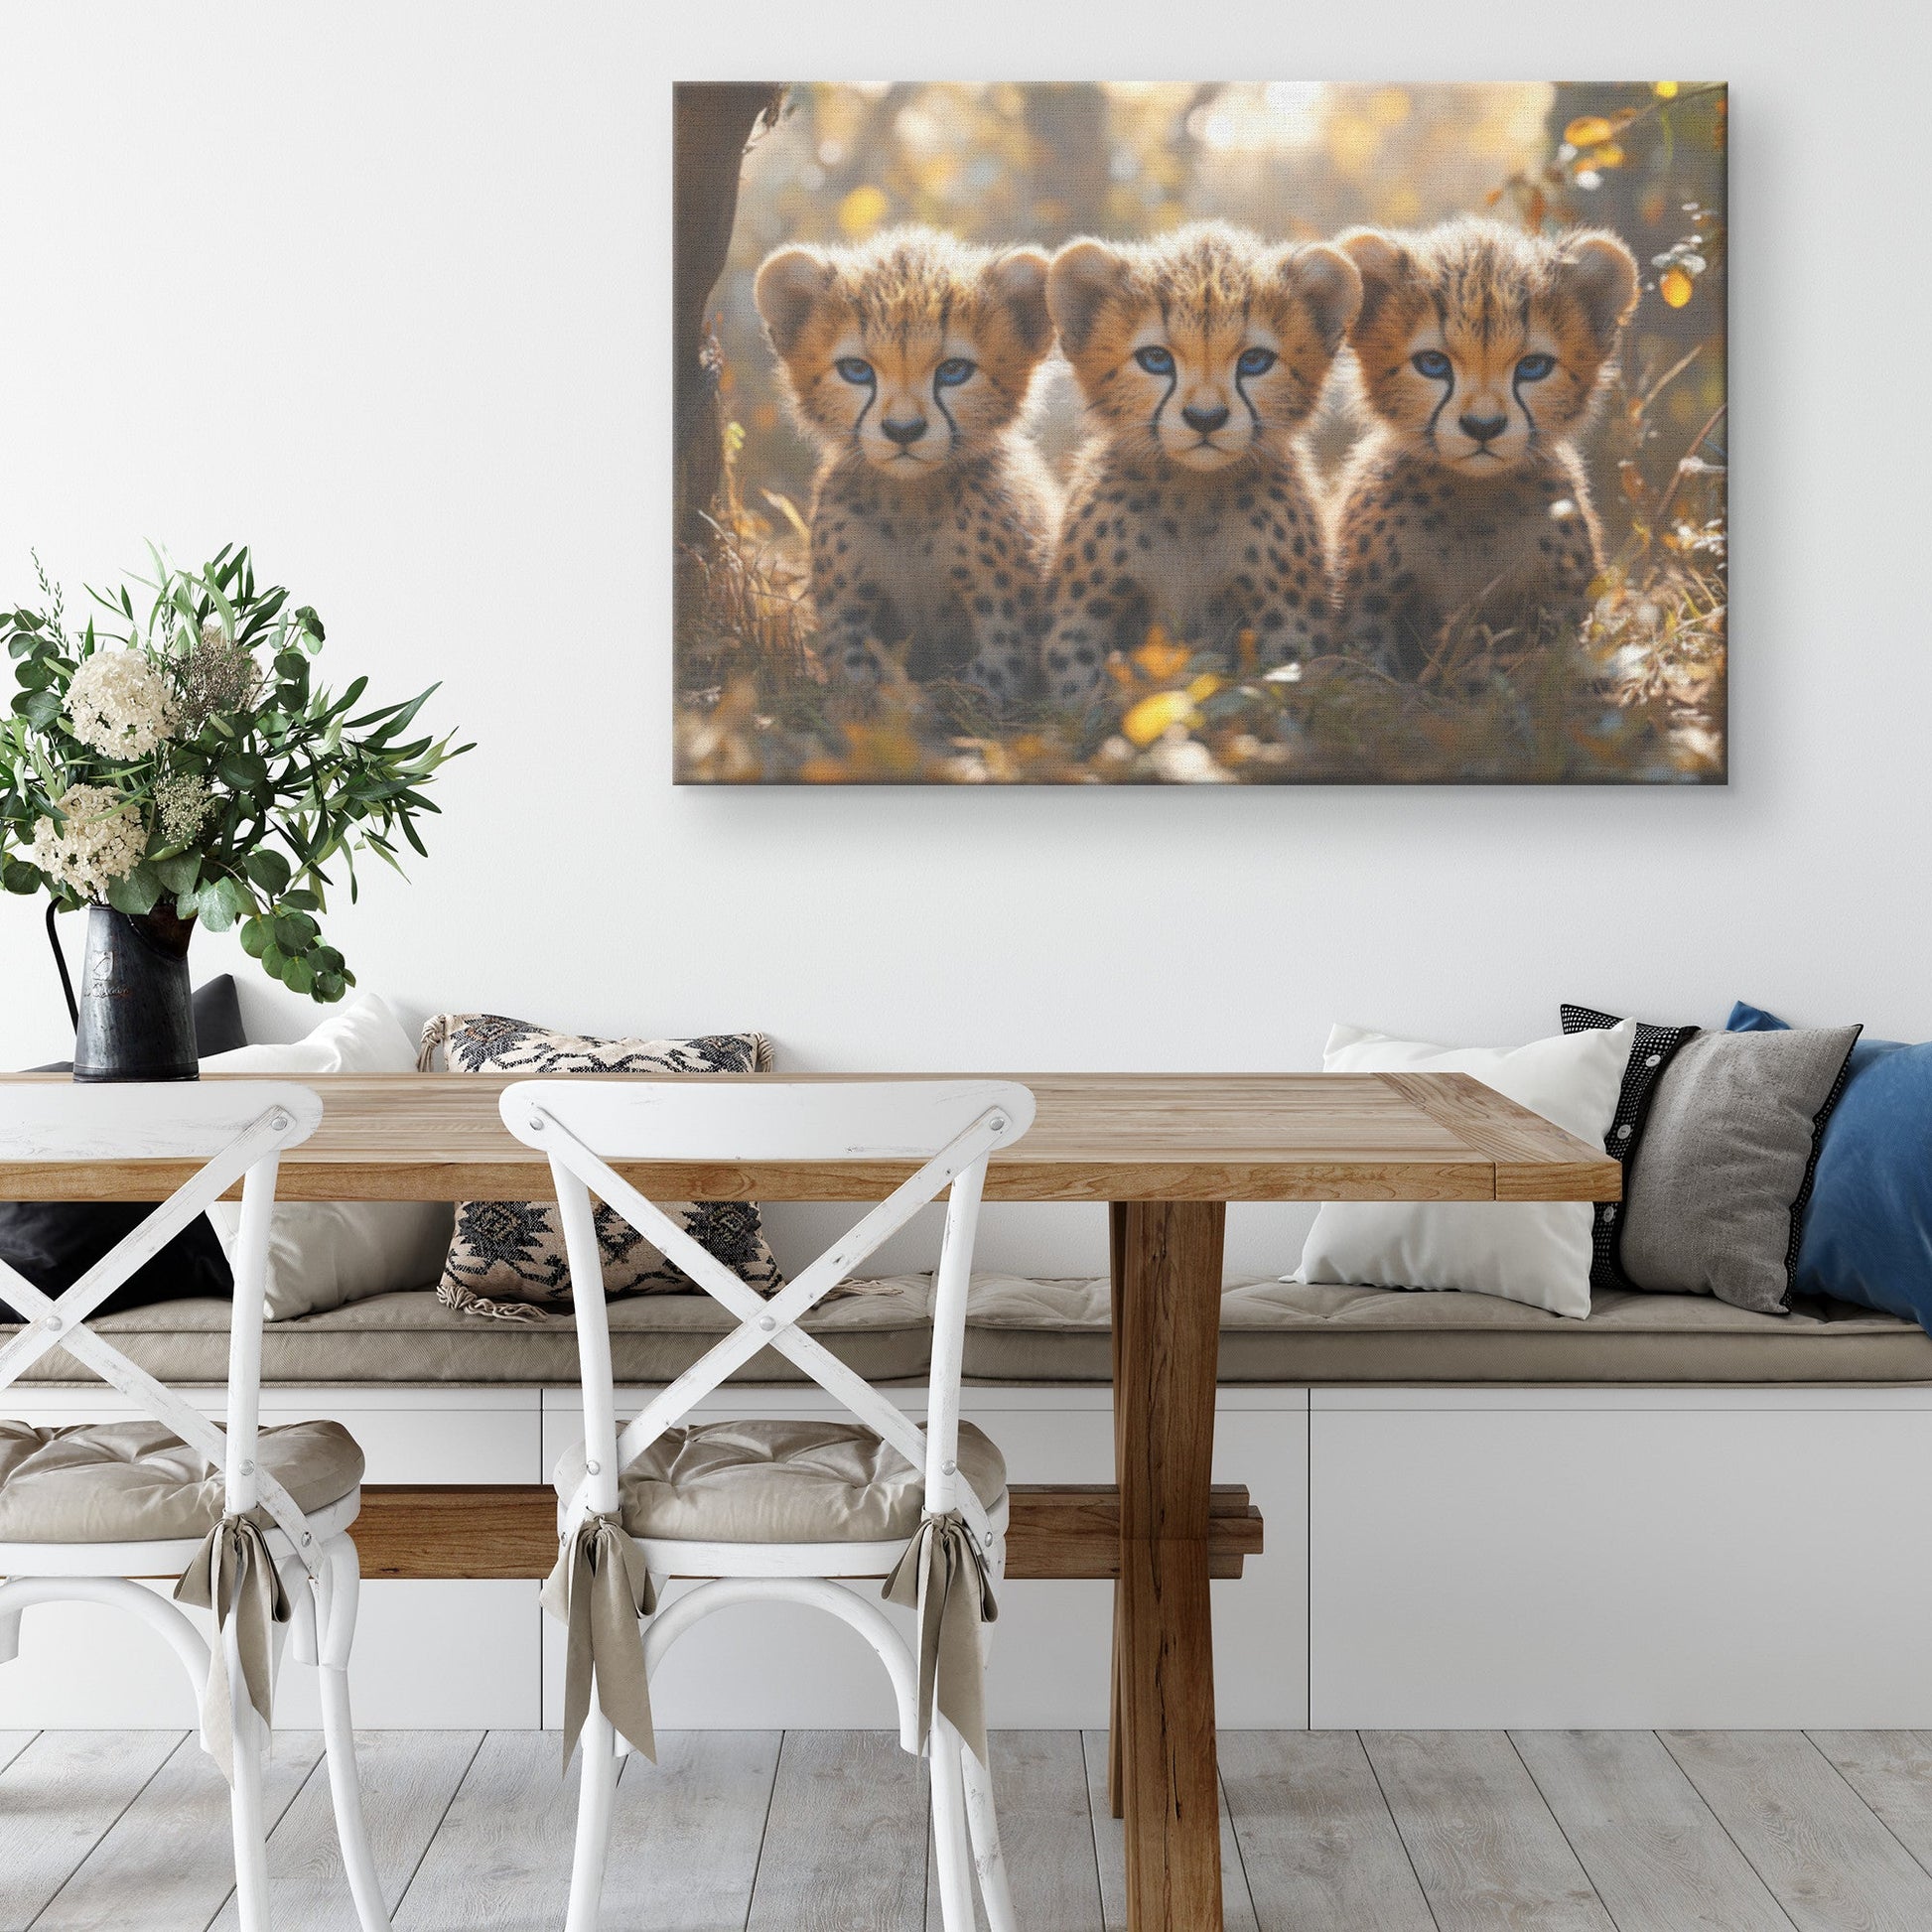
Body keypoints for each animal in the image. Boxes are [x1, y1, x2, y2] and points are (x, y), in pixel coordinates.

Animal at [753, 225, 1058, 703]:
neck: (912, 498)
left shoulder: (1003, 603)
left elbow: (994, 672)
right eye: (856, 370)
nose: (903, 430)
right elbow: (855, 671)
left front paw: (953, 701)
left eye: (953, 370)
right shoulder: (849, 601)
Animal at [1037, 220, 1361, 704]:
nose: (1205, 418)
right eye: (1155, 359)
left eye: (1255, 360)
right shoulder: (1082, 611)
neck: (1191, 491)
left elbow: (1282, 677)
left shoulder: (1288, 616)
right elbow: (1079, 686)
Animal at [1326, 217, 1641, 678]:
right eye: (1432, 363)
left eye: (1533, 366)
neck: (1474, 497)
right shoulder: (1368, 605)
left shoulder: (1560, 605)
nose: (1483, 426)